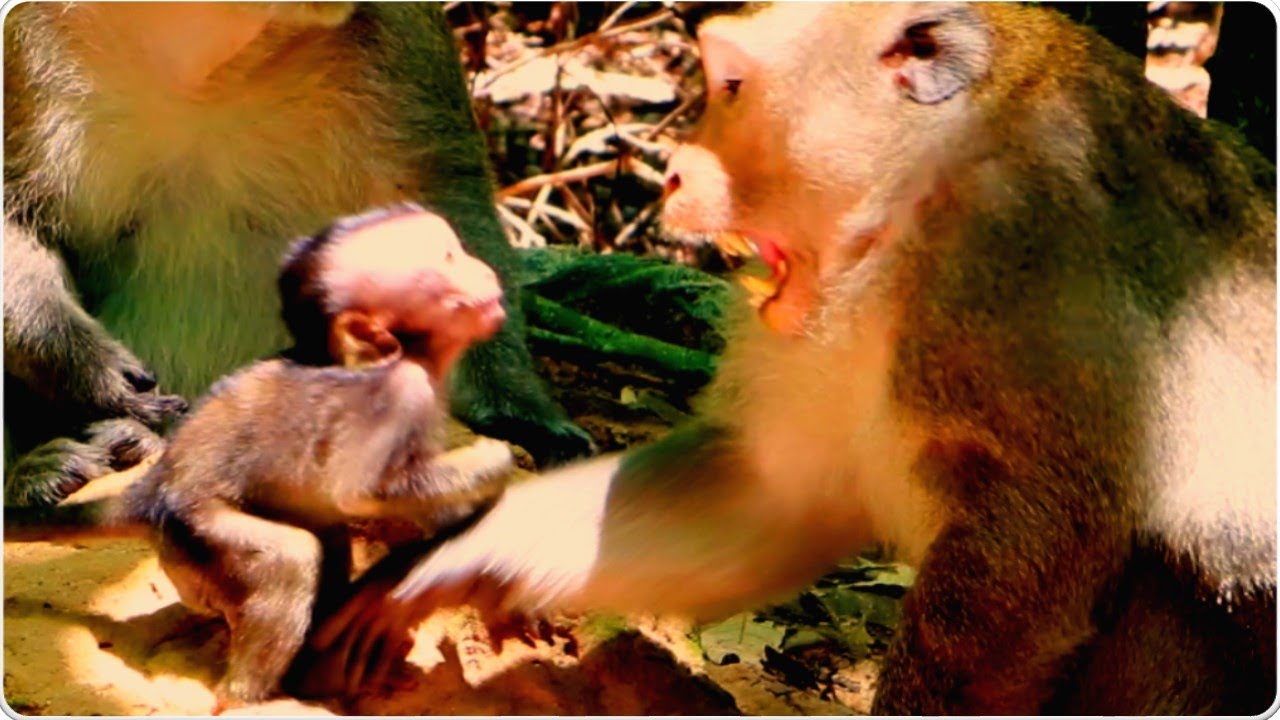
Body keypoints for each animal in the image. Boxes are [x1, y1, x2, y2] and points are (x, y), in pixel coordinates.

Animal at [3, 1, 593, 509]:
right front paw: (82, 366)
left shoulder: (404, 42)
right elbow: (16, 218)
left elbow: (445, 208)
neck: (209, 61)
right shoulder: (24, 42)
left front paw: (520, 415)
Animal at [5, 204, 518, 707]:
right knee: (290, 560)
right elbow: (368, 489)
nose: (484, 270)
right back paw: (247, 696)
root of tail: (153, 489)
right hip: (196, 530)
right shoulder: (399, 393)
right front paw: (491, 469)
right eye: (448, 259)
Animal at [308, 3, 1277, 715]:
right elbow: (769, 497)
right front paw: (462, 555)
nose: (675, 168)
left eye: (734, 85)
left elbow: (1042, 544)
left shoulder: (1014, 260)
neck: (916, 202)